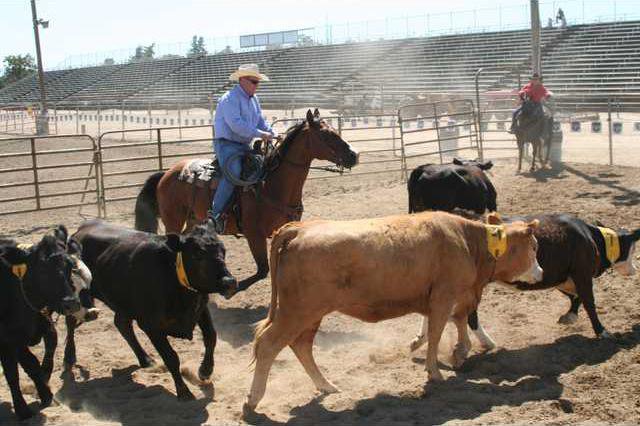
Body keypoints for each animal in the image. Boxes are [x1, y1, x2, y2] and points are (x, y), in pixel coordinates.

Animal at [0, 228, 82, 420]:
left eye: (69, 266)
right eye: (42, 271)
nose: (72, 303)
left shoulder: (45, 322)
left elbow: (50, 348)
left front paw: (44, 381)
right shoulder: (8, 340)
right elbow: (20, 369)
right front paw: (24, 408)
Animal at [65, 219, 237, 400]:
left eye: (223, 250)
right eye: (198, 254)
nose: (230, 282)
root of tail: (81, 230)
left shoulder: (201, 308)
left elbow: (211, 336)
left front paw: (205, 370)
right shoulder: (151, 326)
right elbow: (171, 357)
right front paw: (184, 391)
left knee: (122, 324)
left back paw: (145, 359)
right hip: (77, 295)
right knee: (70, 322)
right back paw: (69, 357)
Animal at [244, 211, 541, 412]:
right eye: (534, 247)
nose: (540, 272)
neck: (468, 241)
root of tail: (299, 228)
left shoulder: (454, 297)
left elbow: (457, 323)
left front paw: (459, 352)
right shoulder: (444, 296)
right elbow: (437, 332)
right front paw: (435, 371)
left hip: (310, 313)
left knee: (301, 346)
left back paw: (326, 385)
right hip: (297, 310)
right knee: (269, 344)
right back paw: (254, 399)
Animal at [409, 213, 640, 354]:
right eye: (632, 249)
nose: (635, 269)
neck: (590, 238)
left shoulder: (559, 277)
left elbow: (575, 297)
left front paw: (570, 316)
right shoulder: (581, 275)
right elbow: (589, 302)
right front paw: (603, 332)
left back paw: (420, 339)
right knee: (469, 316)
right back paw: (487, 342)